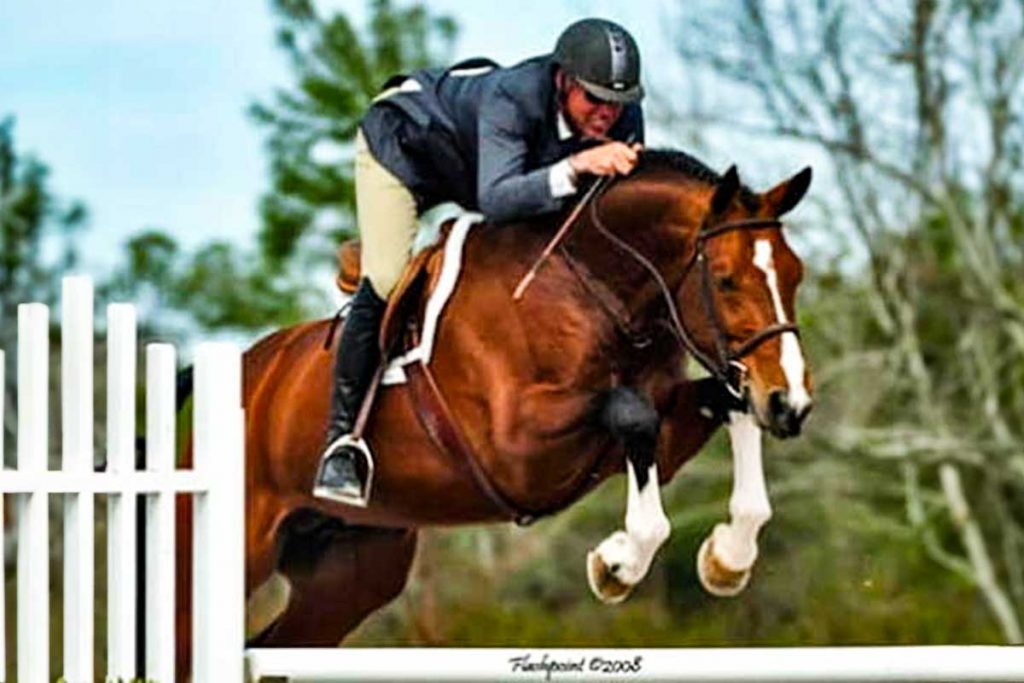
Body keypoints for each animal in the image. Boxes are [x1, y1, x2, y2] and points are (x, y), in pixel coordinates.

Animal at [174, 149, 813, 677]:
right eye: (726, 281)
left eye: (796, 274)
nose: (791, 404)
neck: (590, 287)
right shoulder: (515, 449)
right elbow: (632, 413)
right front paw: (618, 564)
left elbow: (724, 404)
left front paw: (727, 557)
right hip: (222, 556)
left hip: (351, 574)